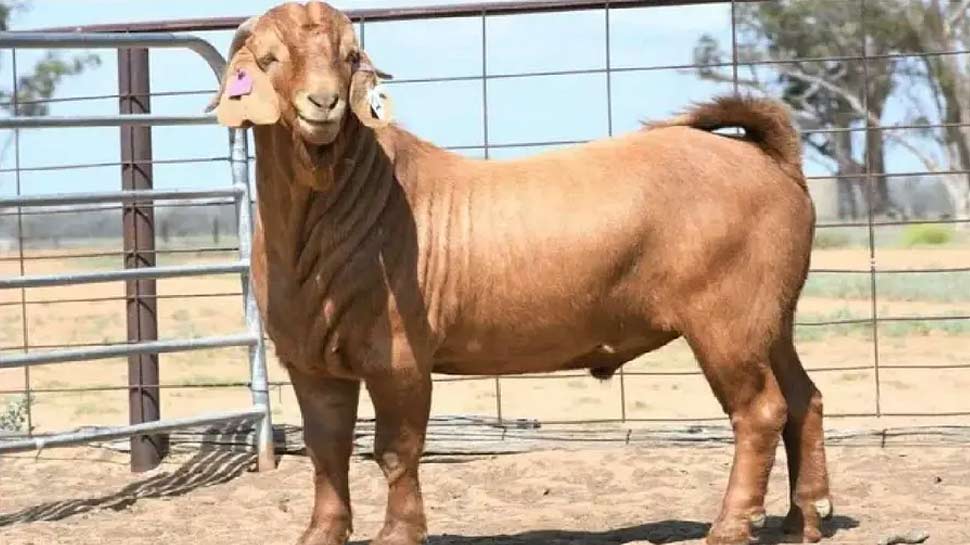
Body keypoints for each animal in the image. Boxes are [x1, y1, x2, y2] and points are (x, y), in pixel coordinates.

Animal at [210, 3, 832, 545]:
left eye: (350, 55)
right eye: (268, 59)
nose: (325, 103)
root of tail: (766, 157)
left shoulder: (400, 357)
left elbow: (396, 449)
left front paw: (399, 533)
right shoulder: (308, 359)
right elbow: (327, 449)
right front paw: (320, 533)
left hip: (727, 319)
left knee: (760, 411)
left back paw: (730, 528)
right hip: (771, 315)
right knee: (803, 398)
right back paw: (802, 520)